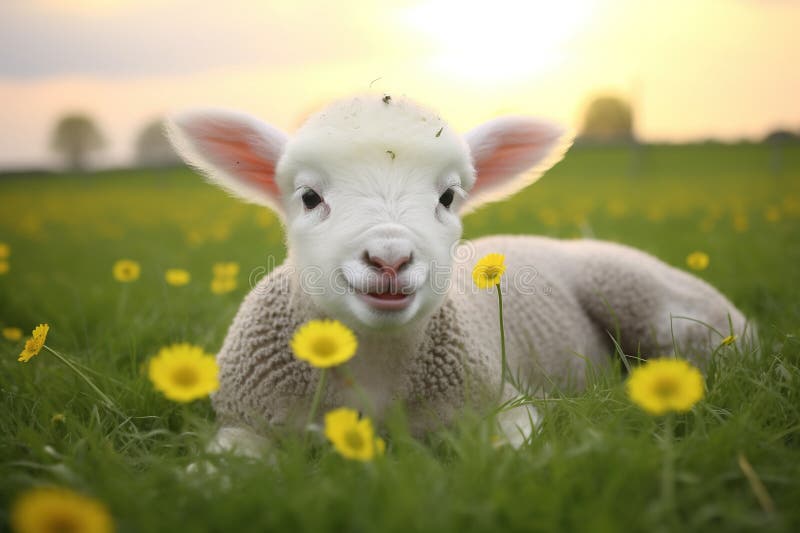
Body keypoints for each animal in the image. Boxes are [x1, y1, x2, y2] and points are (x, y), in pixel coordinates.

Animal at [167, 94, 751, 451]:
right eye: (309, 197)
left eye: (448, 196)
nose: (390, 259)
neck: (376, 369)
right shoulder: (244, 421)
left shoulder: (504, 401)